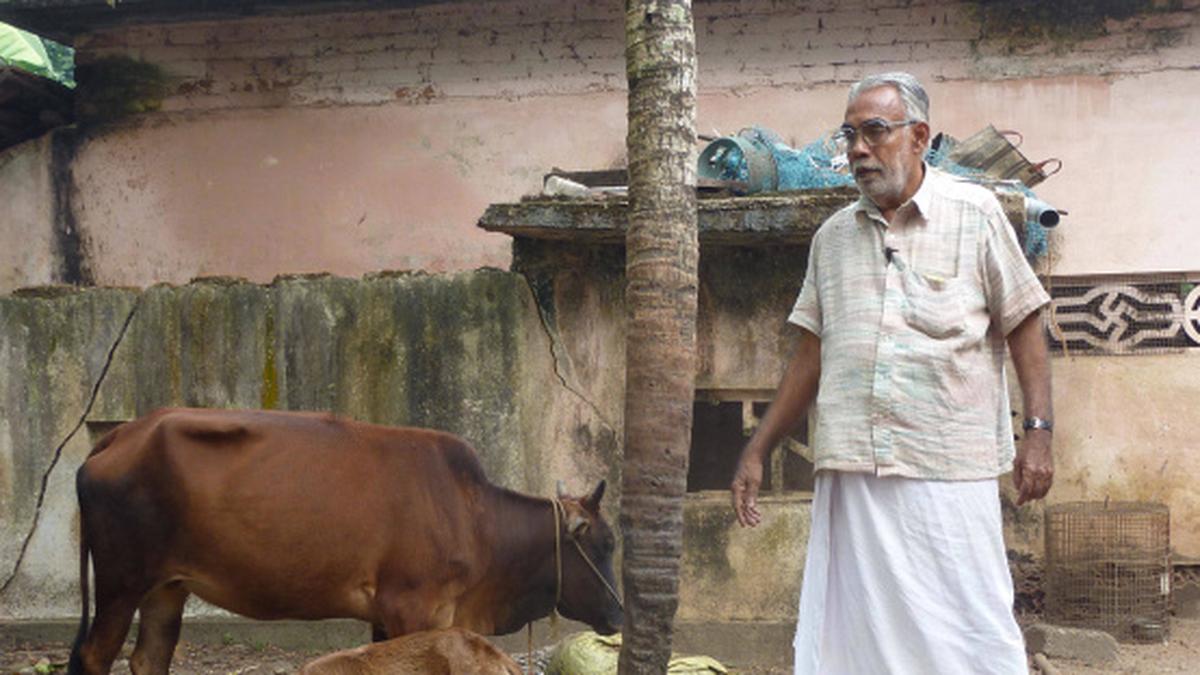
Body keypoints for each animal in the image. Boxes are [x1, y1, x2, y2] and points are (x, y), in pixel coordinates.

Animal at [67, 407, 622, 675]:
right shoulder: (412, 609)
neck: (475, 517)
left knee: (149, 658)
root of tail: (121, 435)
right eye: (604, 545)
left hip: (167, 587)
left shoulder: (384, 616)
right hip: (120, 582)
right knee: (94, 655)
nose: (619, 614)